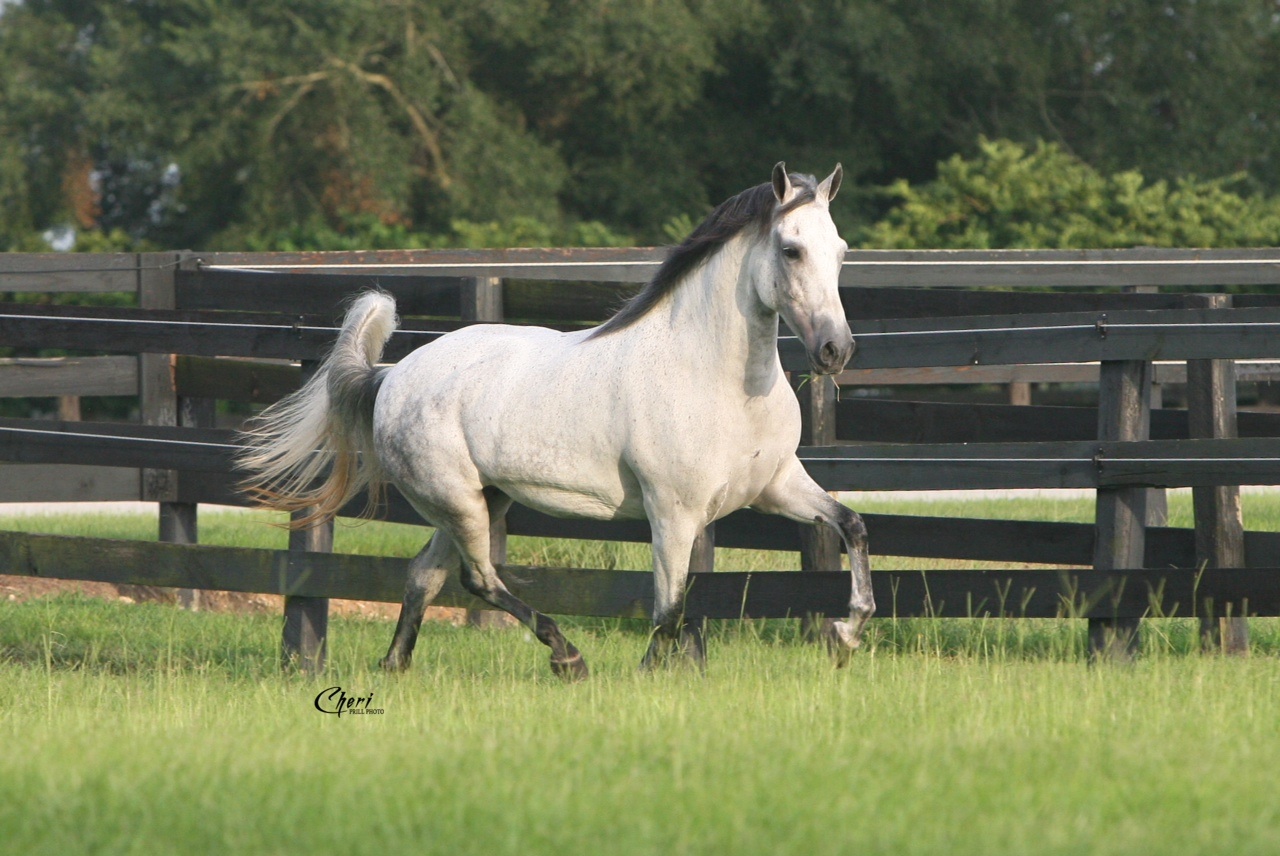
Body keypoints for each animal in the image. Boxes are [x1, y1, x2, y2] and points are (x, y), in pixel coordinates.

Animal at [236, 163, 873, 679]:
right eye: (790, 249)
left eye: (841, 251)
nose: (835, 350)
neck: (716, 378)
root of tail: (391, 376)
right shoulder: (673, 512)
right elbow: (670, 607)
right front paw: (649, 676)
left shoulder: (774, 487)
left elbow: (850, 524)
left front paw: (846, 635)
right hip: (458, 501)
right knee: (478, 579)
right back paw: (567, 657)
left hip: (478, 500)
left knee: (423, 575)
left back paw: (395, 666)